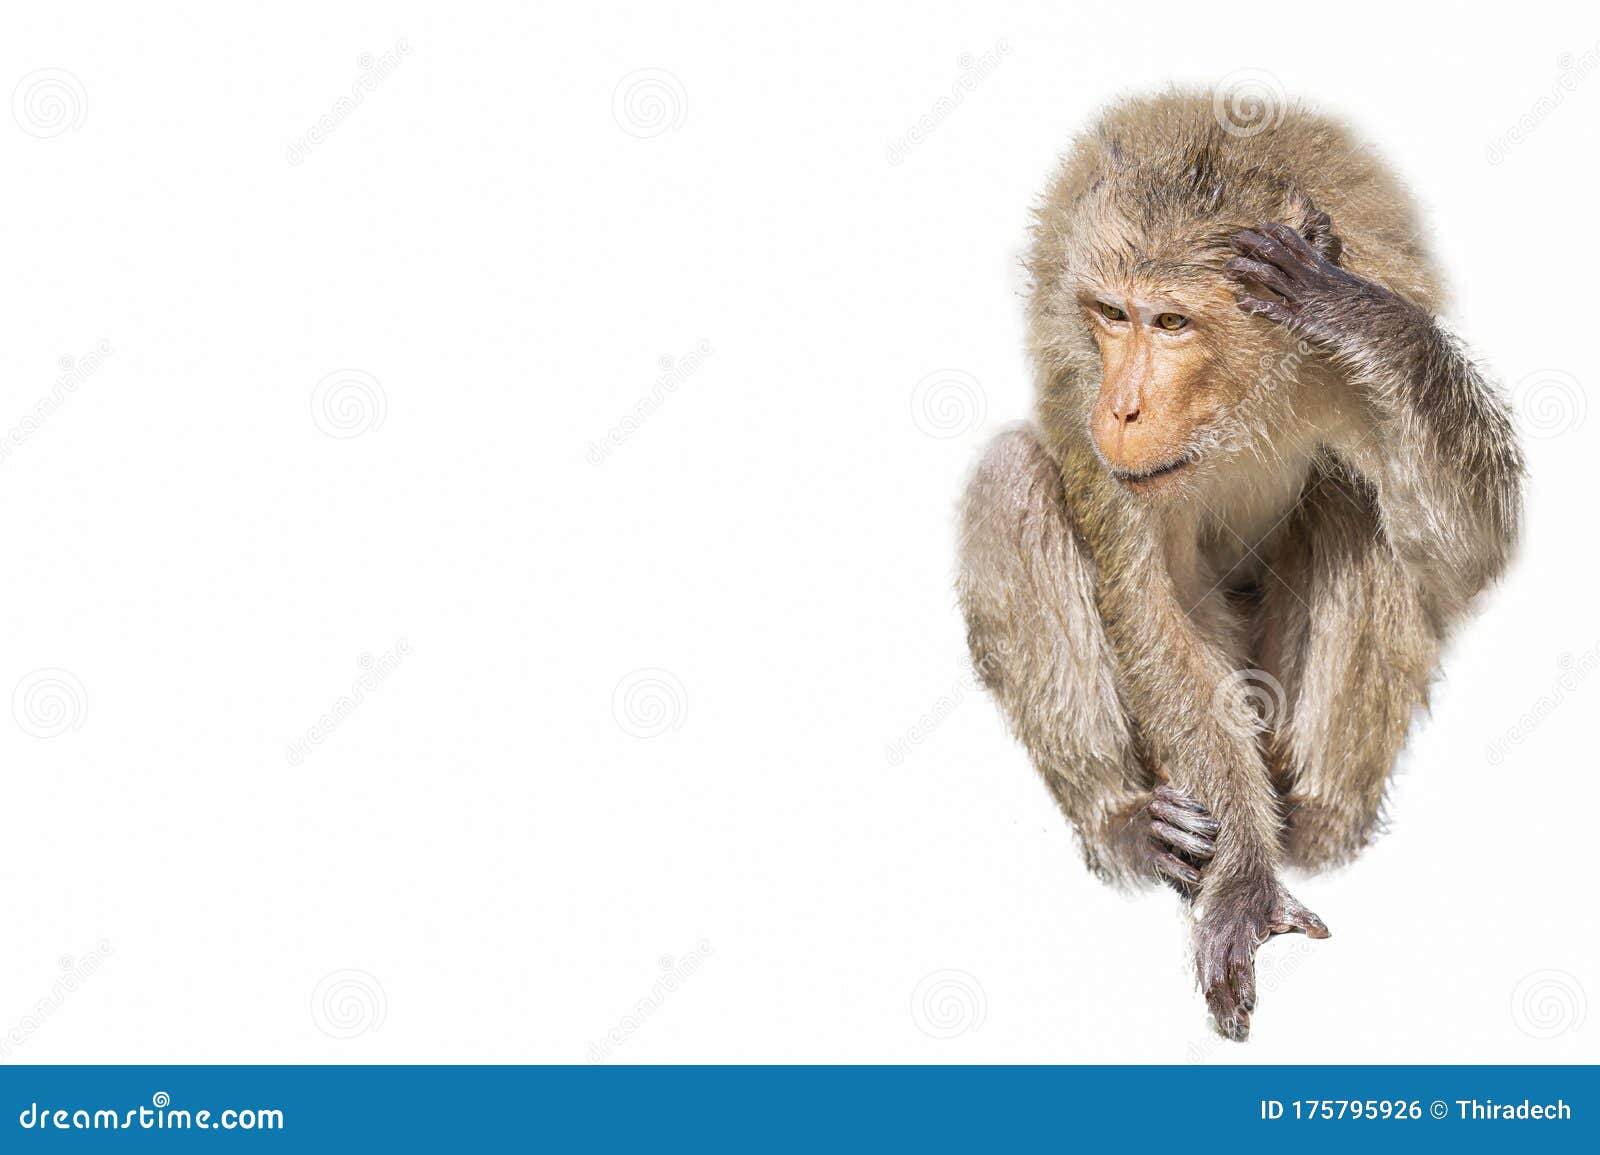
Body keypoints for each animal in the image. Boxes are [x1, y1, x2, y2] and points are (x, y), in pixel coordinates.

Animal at [957, 90, 1523, 1040]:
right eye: (1113, 314)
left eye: (1172, 322)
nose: (1122, 407)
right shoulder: (1076, 372)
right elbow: (1153, 605)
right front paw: (1244, 883)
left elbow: (1473, 553)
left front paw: (1356, 309)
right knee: (1010, 479)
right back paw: (1129, 827)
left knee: (1360, 509)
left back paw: (1321, 828)